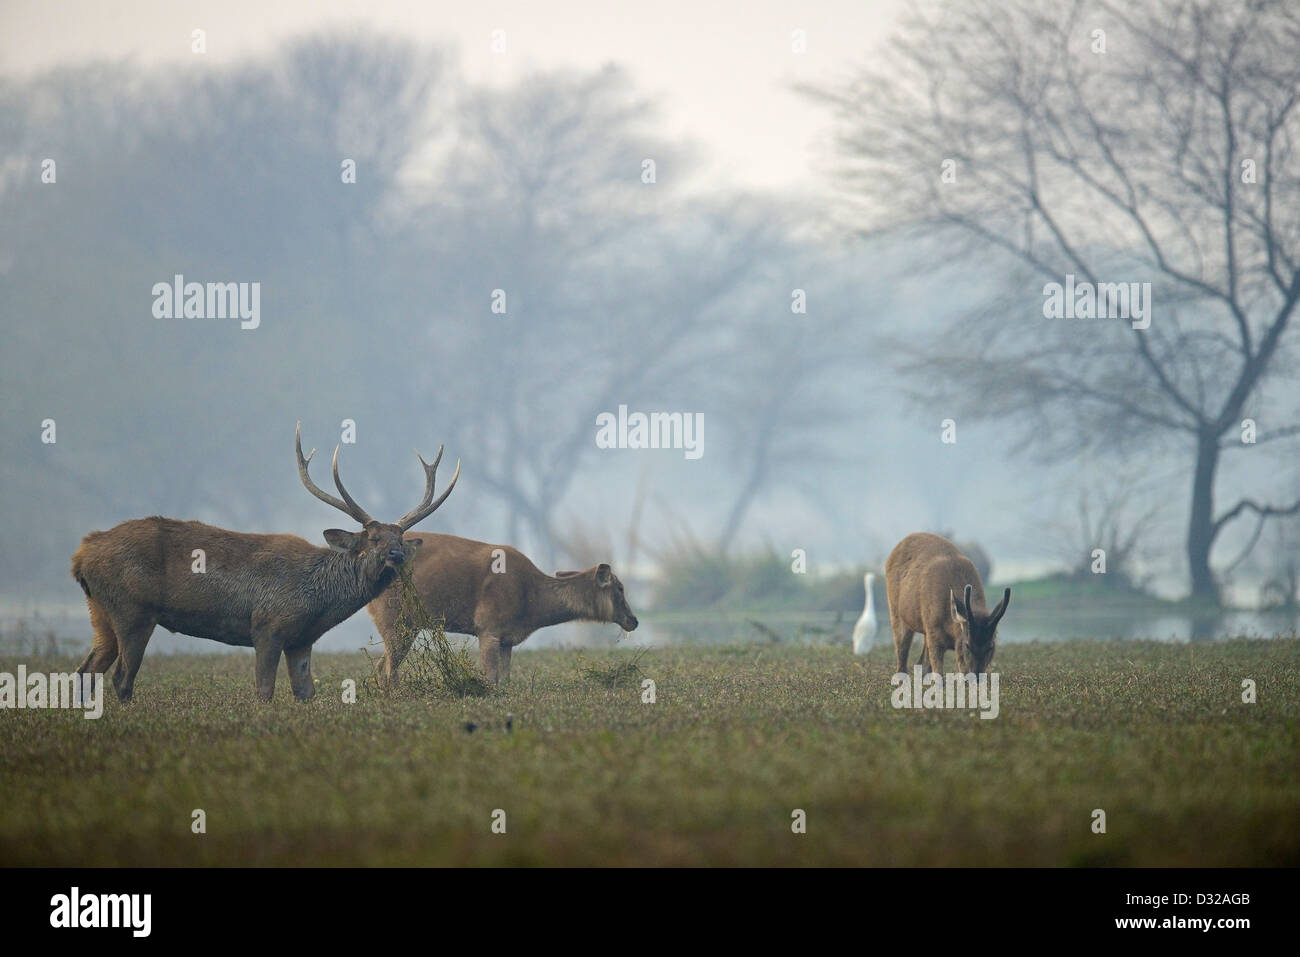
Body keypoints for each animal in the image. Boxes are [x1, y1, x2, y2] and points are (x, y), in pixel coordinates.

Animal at [69, 423, 459, 702]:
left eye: (399, 539)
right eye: (373, 539)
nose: (396, 555)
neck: (318, 600)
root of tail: (81, 555)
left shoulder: (302, 639)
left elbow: (305, 692)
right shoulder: (268, 625)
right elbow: (264, 691)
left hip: (101, 611)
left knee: (87, 670)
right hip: (133, 609)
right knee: (122, 677)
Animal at [366, 537, 639, 686]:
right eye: (620, 587)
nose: (633, 621)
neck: (531, 608)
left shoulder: (507, 639)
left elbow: (504, 681)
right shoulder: (488, 627)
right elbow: (490, 679)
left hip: (406, 625)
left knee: (381, 667)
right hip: (392, 618)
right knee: (389, 669)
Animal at [884, 532, 1010, 676]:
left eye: (991, 646)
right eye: (967, 645)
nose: (976, 676)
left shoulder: (931, 630)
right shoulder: (933, 631)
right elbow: (938, 671)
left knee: (920, 663)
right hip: (896, 613)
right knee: (902, 655)